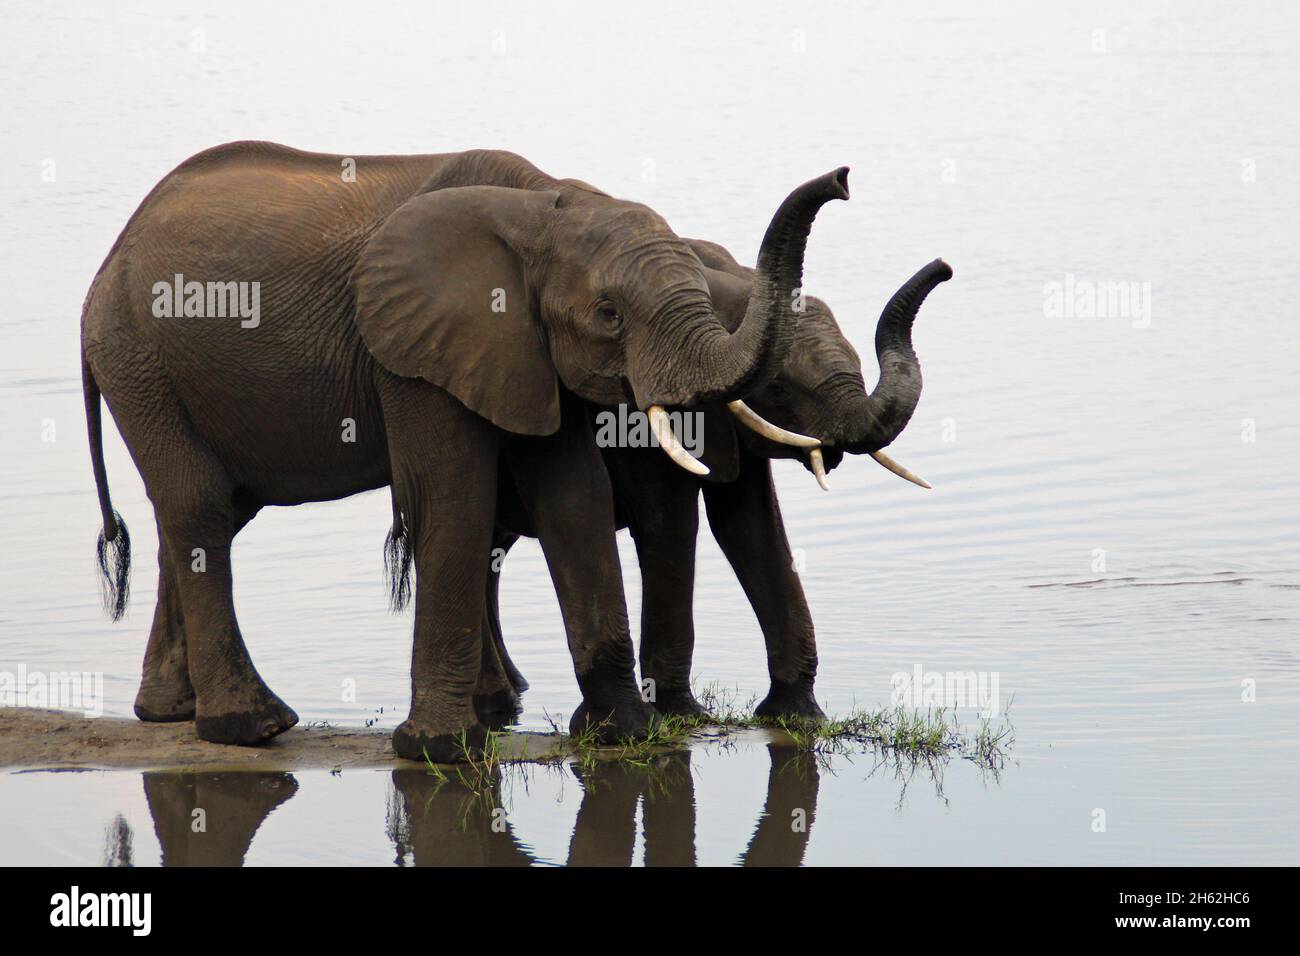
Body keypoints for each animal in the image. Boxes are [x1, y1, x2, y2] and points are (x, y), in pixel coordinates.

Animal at [82, 141, 848, 761]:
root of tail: (111, 254)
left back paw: (171, 713)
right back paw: (252, 727)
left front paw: (620, 732)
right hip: (138, 357)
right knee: (201, 507)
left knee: (206, 514)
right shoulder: (415, 343)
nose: (841, 179)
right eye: (609, 316)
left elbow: (574, 496)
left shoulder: (526, 351)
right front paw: (442, 750)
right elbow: (452, 494)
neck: (542, 206)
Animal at [475, 247, 952, 721]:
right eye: (778, 387)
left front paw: (797, 715)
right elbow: (670, 519)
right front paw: (685, 715)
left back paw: (512, 690)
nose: (944, 268)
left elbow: (749, 527)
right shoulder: (636, 416)